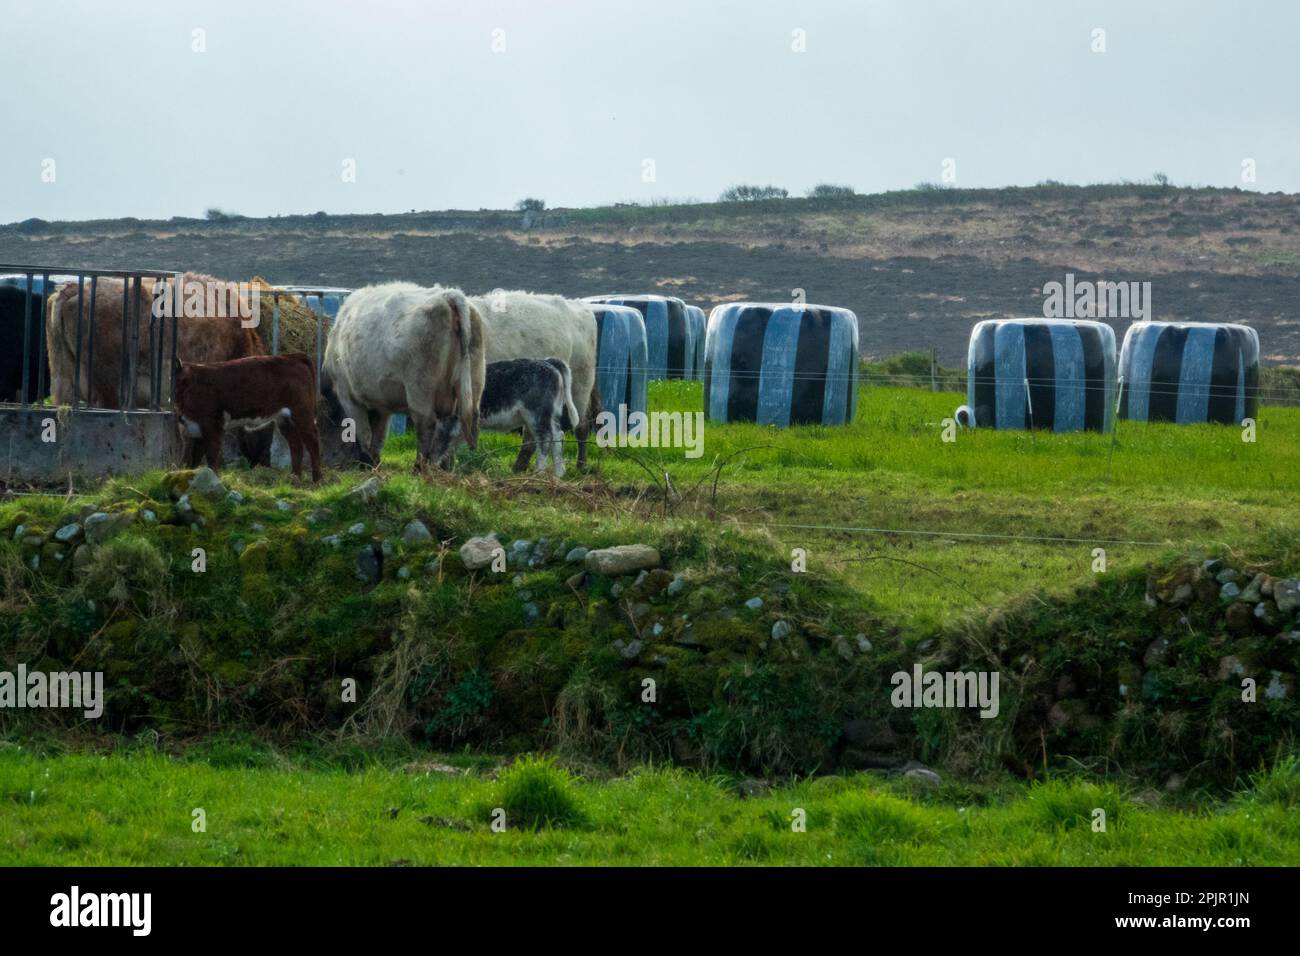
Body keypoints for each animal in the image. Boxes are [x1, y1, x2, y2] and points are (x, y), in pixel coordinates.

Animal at [174, 352, 323, 482]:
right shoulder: (195, 427)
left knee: (313, 442)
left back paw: (317, 479)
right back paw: (294, 477)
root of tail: (293, 356)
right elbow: (195, 458)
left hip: (302, 413)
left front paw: (213, 477)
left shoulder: (212, 424)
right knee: (296, 444)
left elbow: (211, 454)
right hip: (284, 419)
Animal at [321, 282, 485, 470]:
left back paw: (419, 467)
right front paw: (373, 462)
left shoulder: (348, 396)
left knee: (426, 424)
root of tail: (448, 295)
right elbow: (377, 436)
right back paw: (444, 466)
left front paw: (366, 463)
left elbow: (362, 432)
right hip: (474, 382)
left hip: (420, 388)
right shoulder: (380, 405)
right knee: (457, 425)